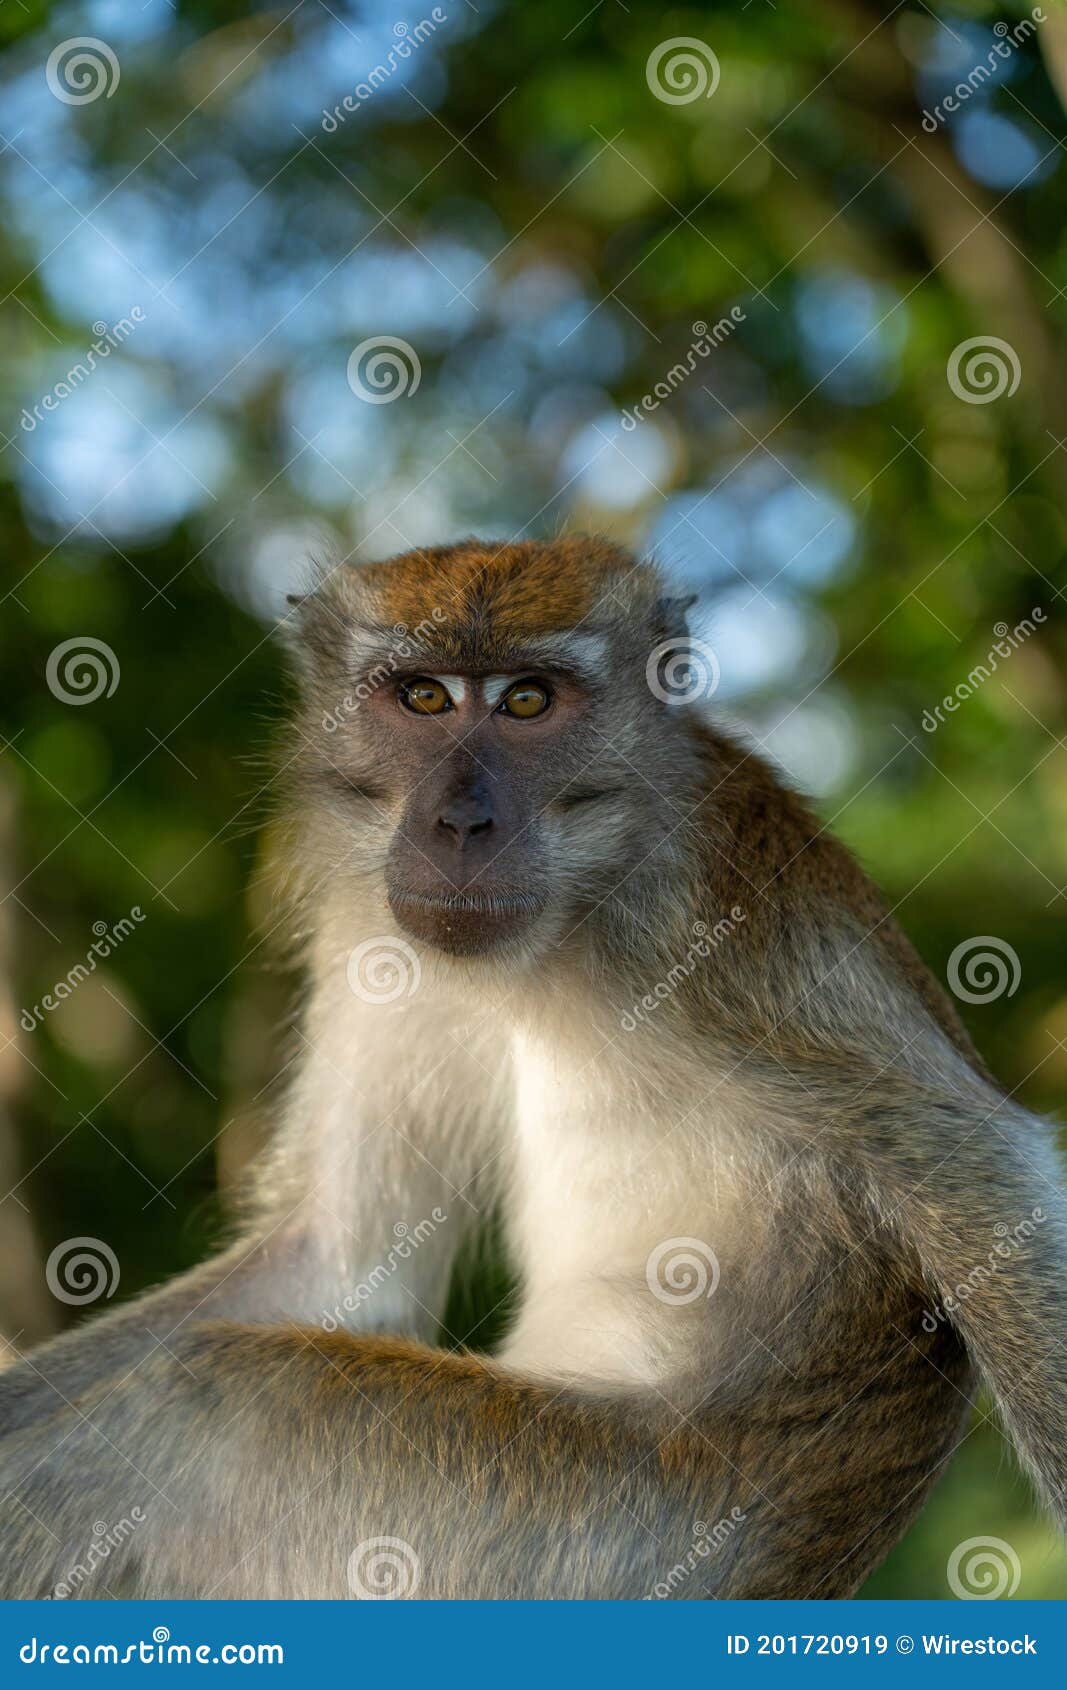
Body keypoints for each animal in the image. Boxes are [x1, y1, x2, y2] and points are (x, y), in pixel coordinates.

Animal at [1, 535, 1064, 1600]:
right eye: (423, 697)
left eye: (525, 702)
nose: (460, 823)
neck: (564, 919)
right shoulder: (376, 931)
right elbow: (342, 1260)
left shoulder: (705, 915)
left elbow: (981, 1173)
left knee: (198, 1401)